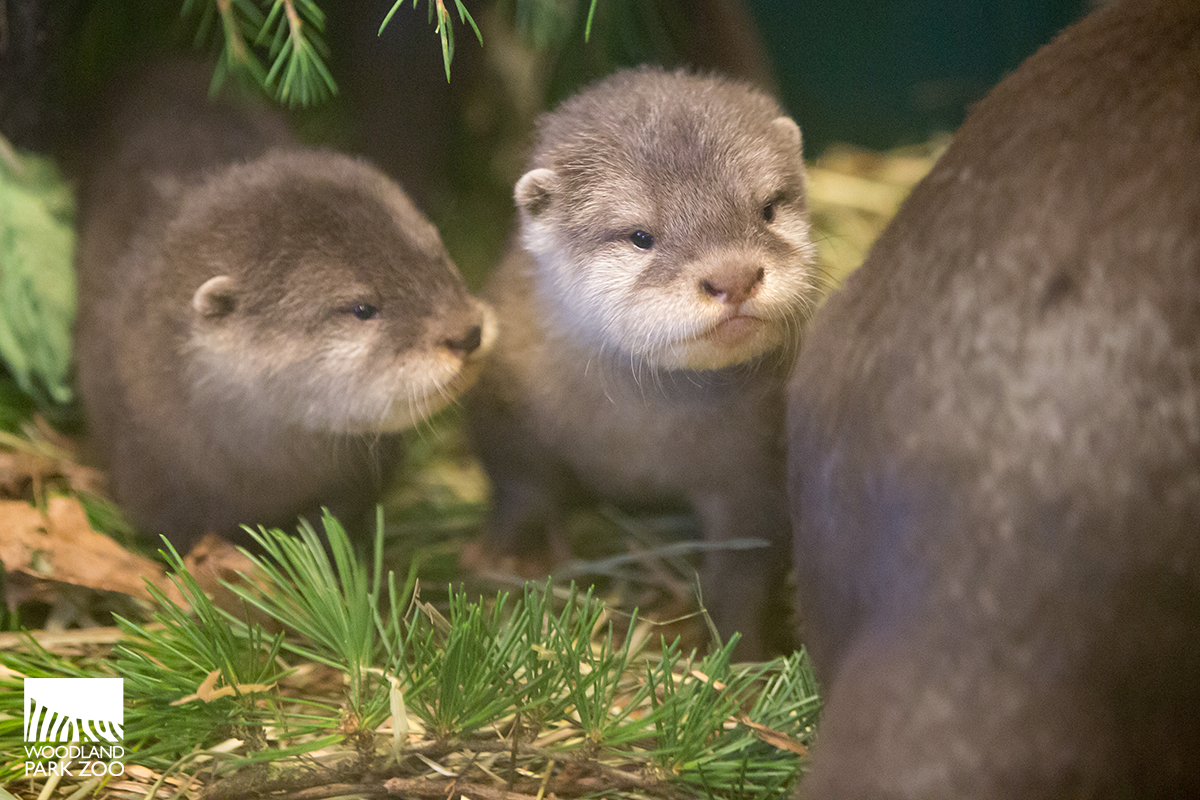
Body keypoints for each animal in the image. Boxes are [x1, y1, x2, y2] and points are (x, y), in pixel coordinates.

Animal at [468, 66, 818, 657]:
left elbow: (746, 562)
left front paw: (741, 649)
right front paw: (516, 554)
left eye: (768, 208)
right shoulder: (504, 392)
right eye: (640, 236)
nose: (734, 276)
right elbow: (521, 483)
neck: (639, 439)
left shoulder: (755, 469)